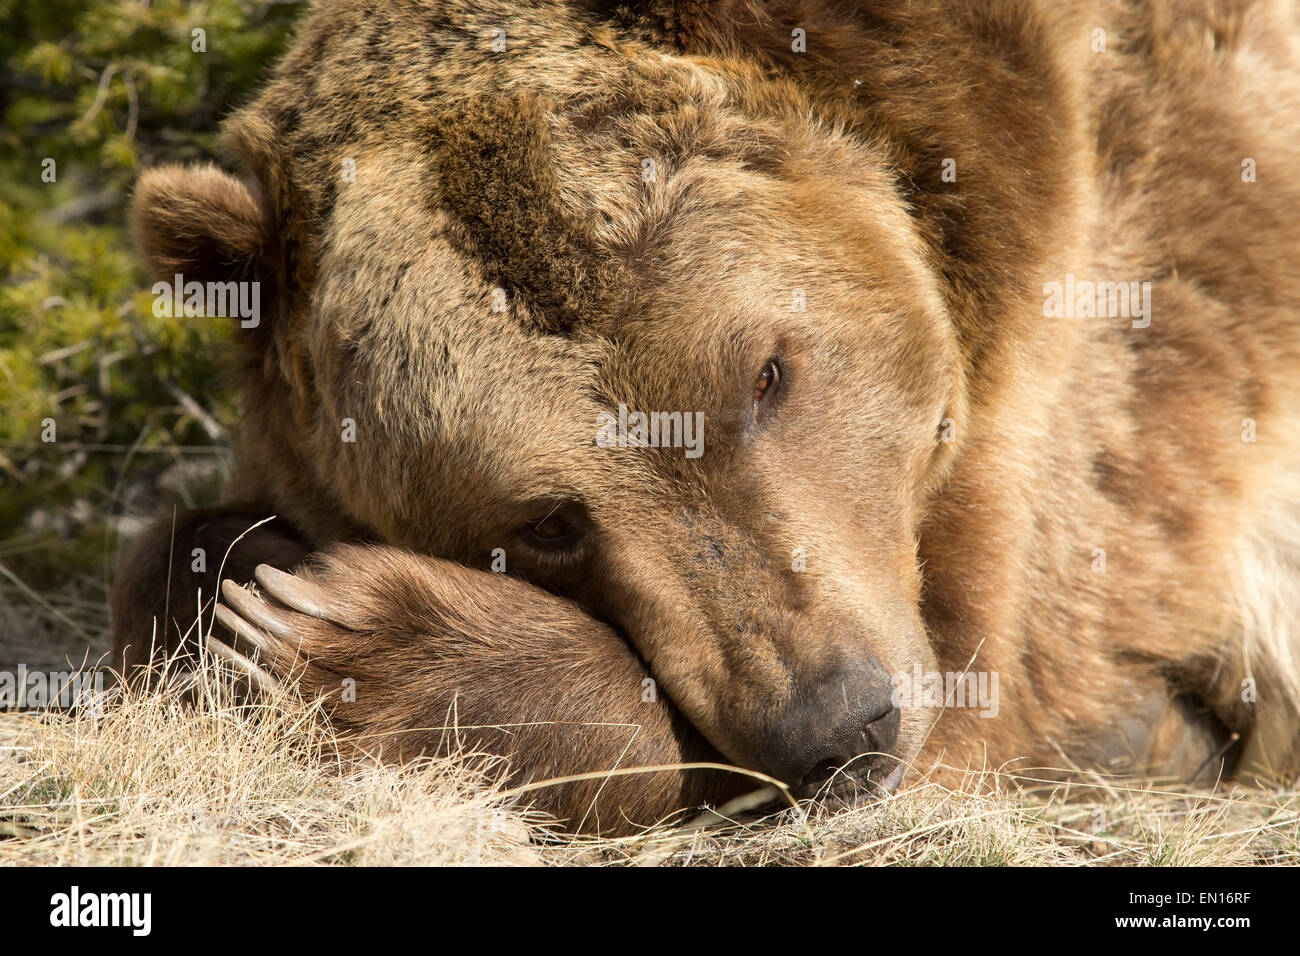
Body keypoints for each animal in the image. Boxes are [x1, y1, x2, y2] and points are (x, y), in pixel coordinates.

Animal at [113, 0, 1300, 834]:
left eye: (763, 373)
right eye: (544, 521)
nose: (838, 723)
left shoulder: (1113, 368)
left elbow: (988, 680)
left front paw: (339, 633)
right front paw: (231, 570)